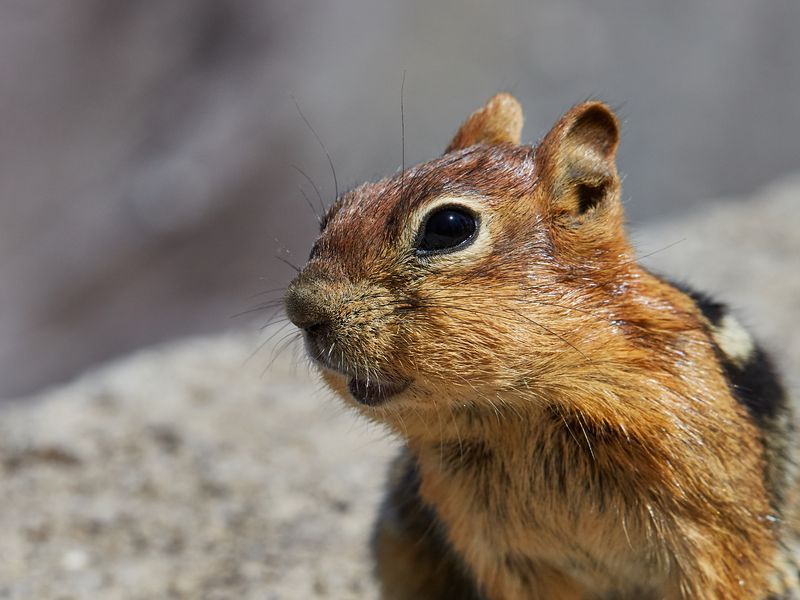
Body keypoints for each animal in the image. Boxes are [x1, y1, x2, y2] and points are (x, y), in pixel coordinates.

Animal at [284, 93, 799, 599]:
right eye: (339, 208)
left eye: (449, 226)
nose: (303, 309)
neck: (522, 413)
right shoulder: (503, 557)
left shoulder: (717, 540)